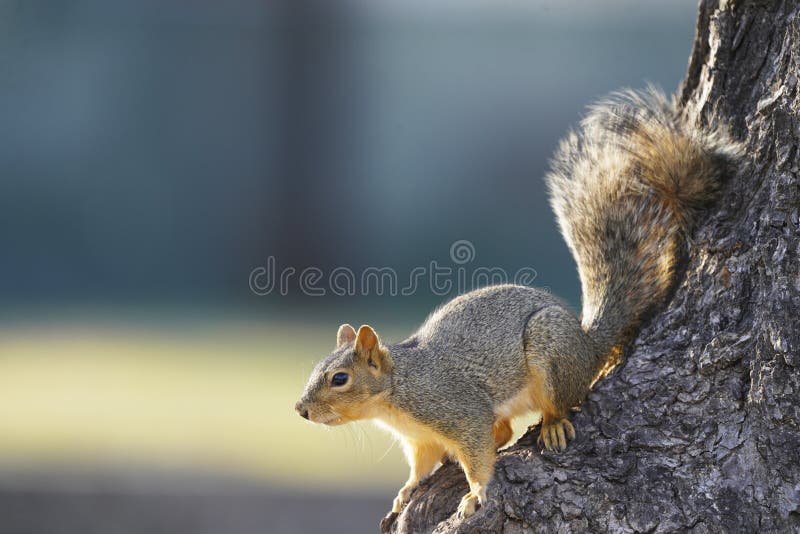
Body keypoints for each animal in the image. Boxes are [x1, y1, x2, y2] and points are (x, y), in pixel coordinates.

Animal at [295, 88, 740, 520]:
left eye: (339, 378)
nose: (300, 410)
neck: (395, 391)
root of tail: (588, 346)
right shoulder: (421, 441)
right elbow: (420, 468)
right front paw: (404, 493)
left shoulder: (457, 410)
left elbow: (477, 455)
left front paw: (476, 494)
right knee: (506, 430)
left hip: (551, 350)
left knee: (556, 403)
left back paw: (554, 425)